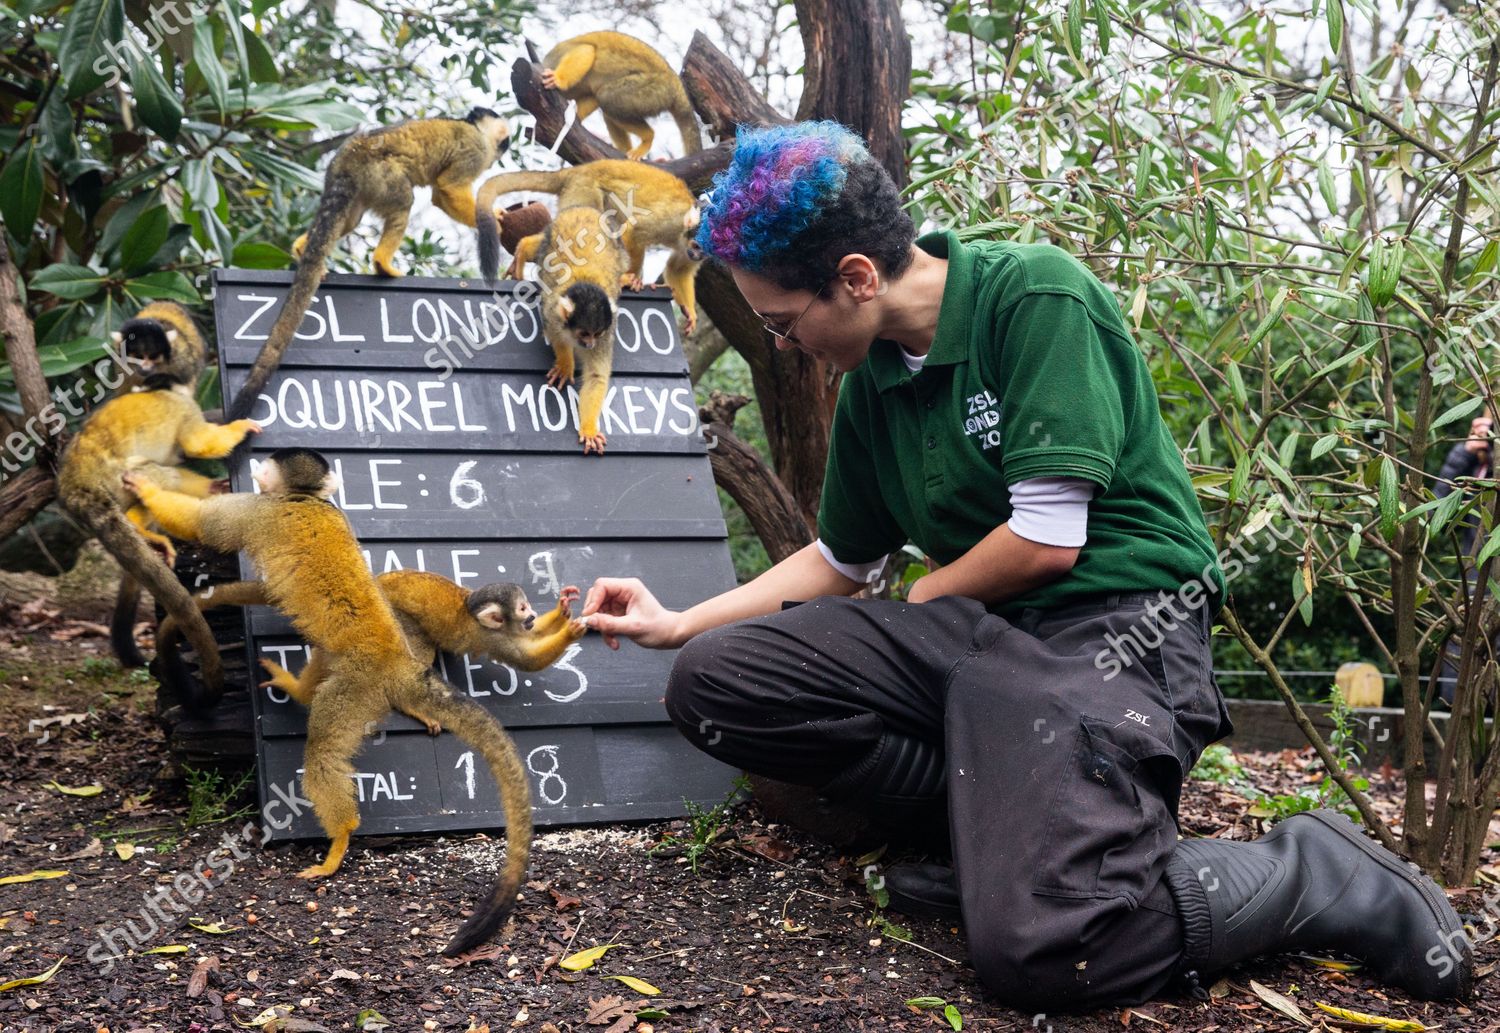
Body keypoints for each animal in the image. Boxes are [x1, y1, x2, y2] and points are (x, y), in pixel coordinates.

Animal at [56, 301, 260, 699]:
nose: (149, 370)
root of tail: (73, 482)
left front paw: (215, 487)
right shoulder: (184, 409)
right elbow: (197, 444)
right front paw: (239, 429)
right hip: (113, 476)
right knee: (151, 472)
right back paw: (140, 526)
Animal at [120, 448, 535, 957]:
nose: (257, 471)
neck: (308, 498)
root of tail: (398, 664)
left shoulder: (262, 510)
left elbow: (203, 526)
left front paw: (144, 487)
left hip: (355, 690)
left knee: (322, 752)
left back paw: (339, 840)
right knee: (323, 656)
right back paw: (303, 692)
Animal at [227, 108, 512, 421]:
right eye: (504, 142)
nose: (501, 152)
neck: (474, 128)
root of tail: (350, 155)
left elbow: (442, 192)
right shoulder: (474, 150)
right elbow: (447, 189)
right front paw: (496, 218)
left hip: (354, 182)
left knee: (349, 219)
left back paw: (303, 249)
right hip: (380, 175)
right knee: (403, 200)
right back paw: (382, 264)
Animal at [474, 160, 703, 332]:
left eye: (702, 251)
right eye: (695, 245)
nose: (696, 255)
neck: (681, 234)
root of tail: (578, 170)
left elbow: (678, 269)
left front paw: (689, 311)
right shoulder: (672, 220)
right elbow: (634, 231)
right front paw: (630, 280)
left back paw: (525, 248)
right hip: (584, 190)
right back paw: (524, 248)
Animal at [541, 31, 702, 160]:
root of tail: (676, 84)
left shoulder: (554, 57)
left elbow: (586, 50)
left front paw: (559, 80)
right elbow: (592, 94)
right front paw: (577, 117)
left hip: (656, 89)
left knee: (607, 98)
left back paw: (648, 137)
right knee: (605, 104)